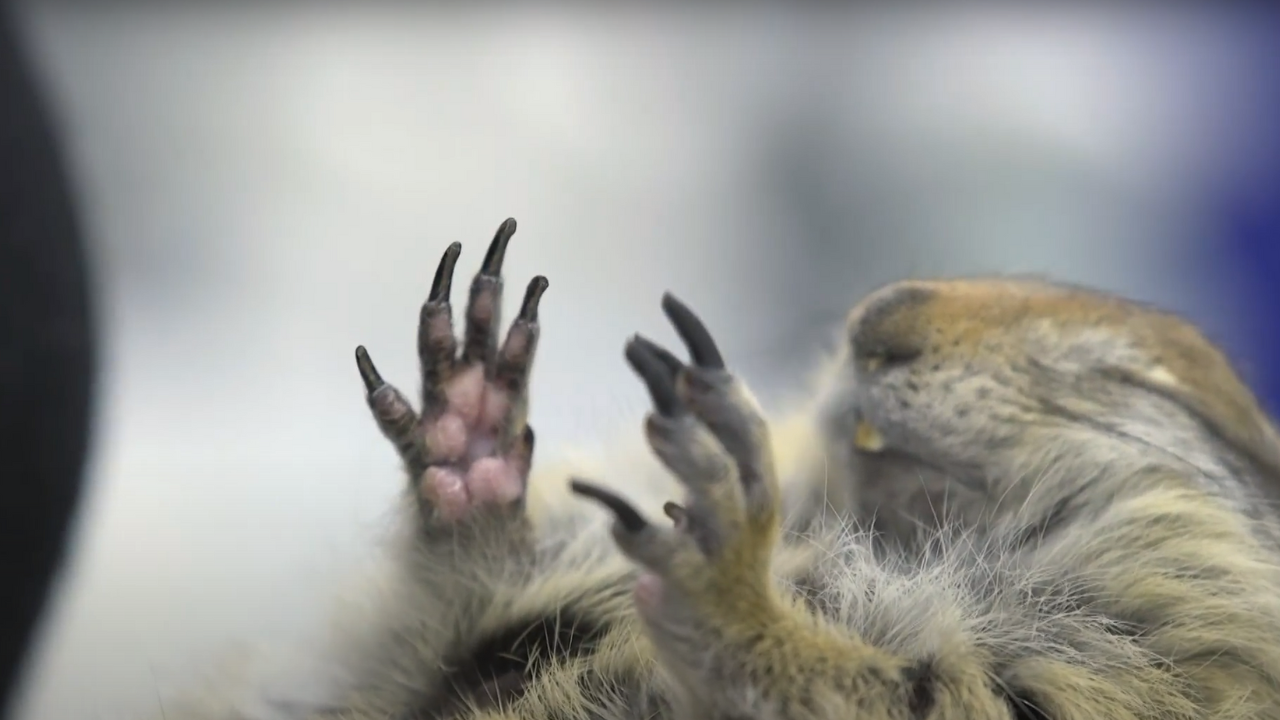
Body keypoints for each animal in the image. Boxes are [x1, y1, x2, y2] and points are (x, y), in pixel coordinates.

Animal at [152, 218, 1280, 719]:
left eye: (1132, 377)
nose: (873, 323)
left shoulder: (1148, 678)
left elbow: (928, 693)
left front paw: (731, 568)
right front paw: (471, 444)